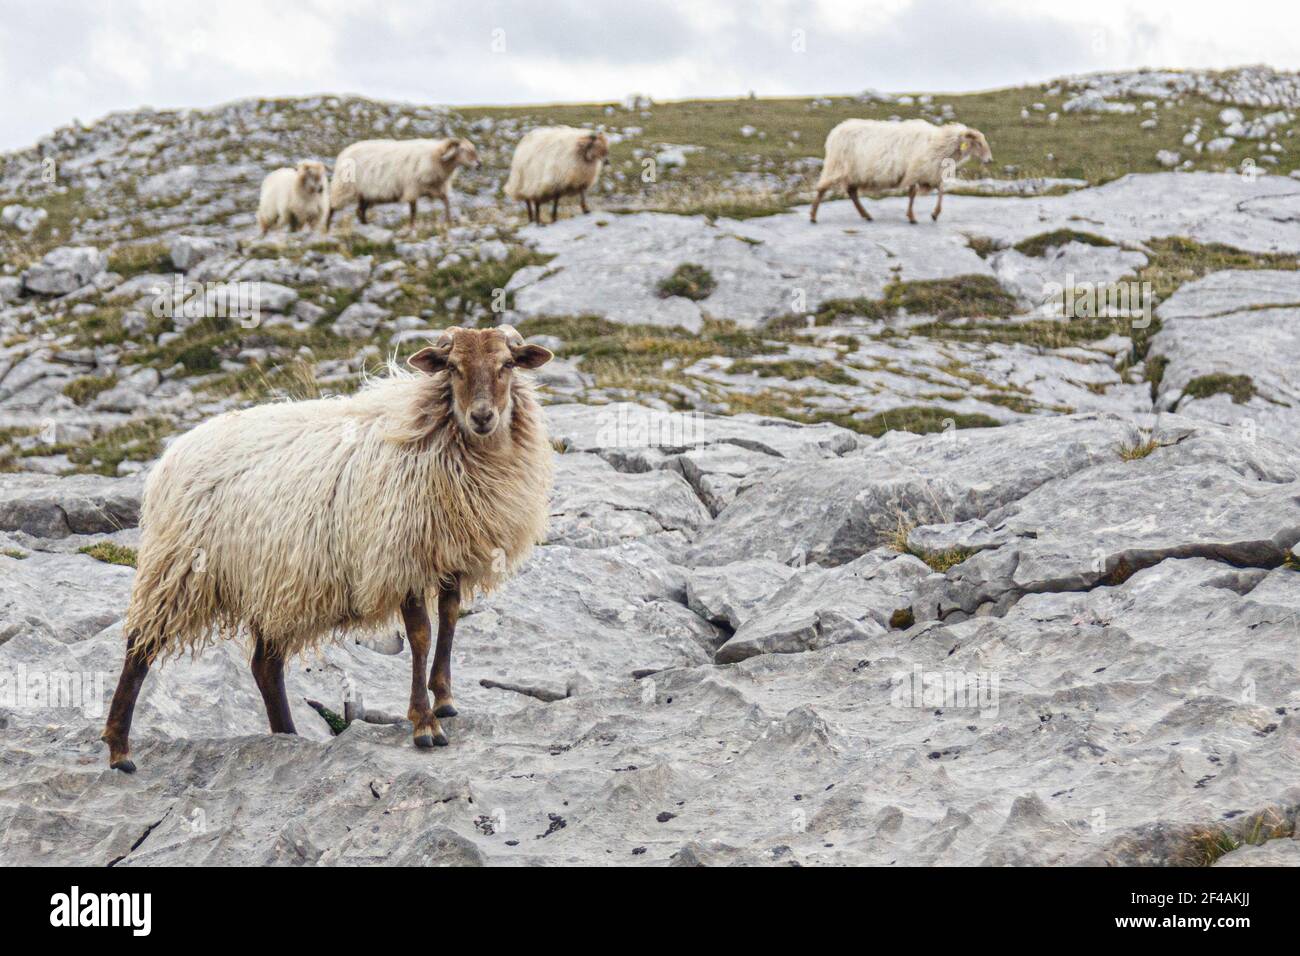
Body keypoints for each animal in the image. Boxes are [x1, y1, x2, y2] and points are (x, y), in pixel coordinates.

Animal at [101, 326, 555, 772]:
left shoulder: (450, 555)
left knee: (264, 667)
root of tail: (172, 454)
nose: (482, 416)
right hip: (178, 568)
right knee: (139, 647)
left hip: (273, 584)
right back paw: (119, 748)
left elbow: (450, 620)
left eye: (507, 364)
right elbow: (422, 636)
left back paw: (286, 736)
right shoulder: (399, 559)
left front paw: (444, 700)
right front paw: (424, 724)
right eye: (453, 367)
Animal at [327, 138, 481, 230]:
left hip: (365, 193)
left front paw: (448, 221)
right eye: (465, 150)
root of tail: (343, 154)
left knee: (360, 211)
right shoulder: (412, 188)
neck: (435, 156)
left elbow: (446, 201)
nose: (479, 164)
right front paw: (412, 226)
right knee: (333, 206)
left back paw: (366, 225)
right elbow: (413, 210)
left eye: (473, 149)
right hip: (344, 187)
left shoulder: (434, 188)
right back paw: (327, 226)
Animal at [809, 120, 993, 225]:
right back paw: (813, 216)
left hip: (854, 173)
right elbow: (913, 194)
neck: (941, 144)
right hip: (837, 166)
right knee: (822, 189)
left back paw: (866, 215)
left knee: (852, 193)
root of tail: (834, 133)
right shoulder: (917, 171)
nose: (990, 160)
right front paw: (913, 217)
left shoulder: (928, 173)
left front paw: (933, 214)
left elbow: (940, 190)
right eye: (978, 143)